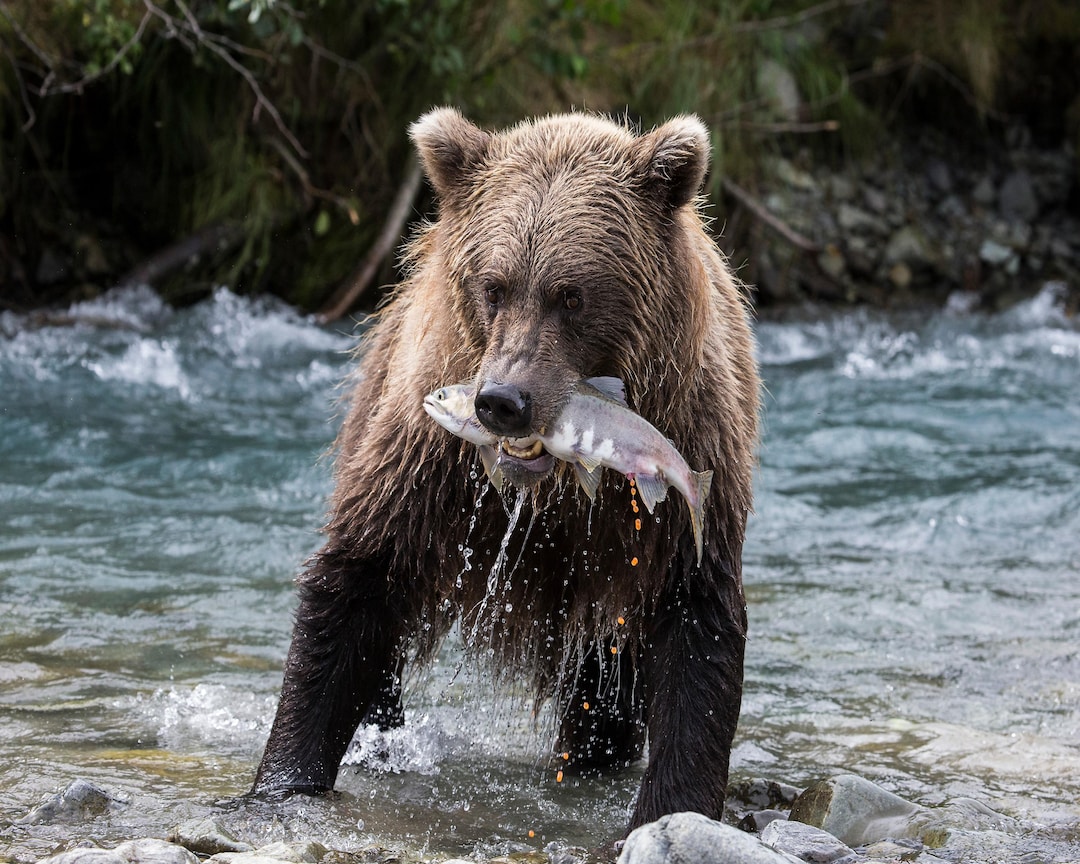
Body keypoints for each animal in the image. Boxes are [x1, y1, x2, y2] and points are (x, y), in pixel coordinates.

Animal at [252, 108, 761, 835]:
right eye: (493, 286)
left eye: (571, 295)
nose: (502, 400)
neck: (554, 488)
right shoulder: (425, 461)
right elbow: (355, 586)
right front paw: (283, 782)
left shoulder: (689, 450)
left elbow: (697, 620)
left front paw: (670, 810)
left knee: (607, 680)